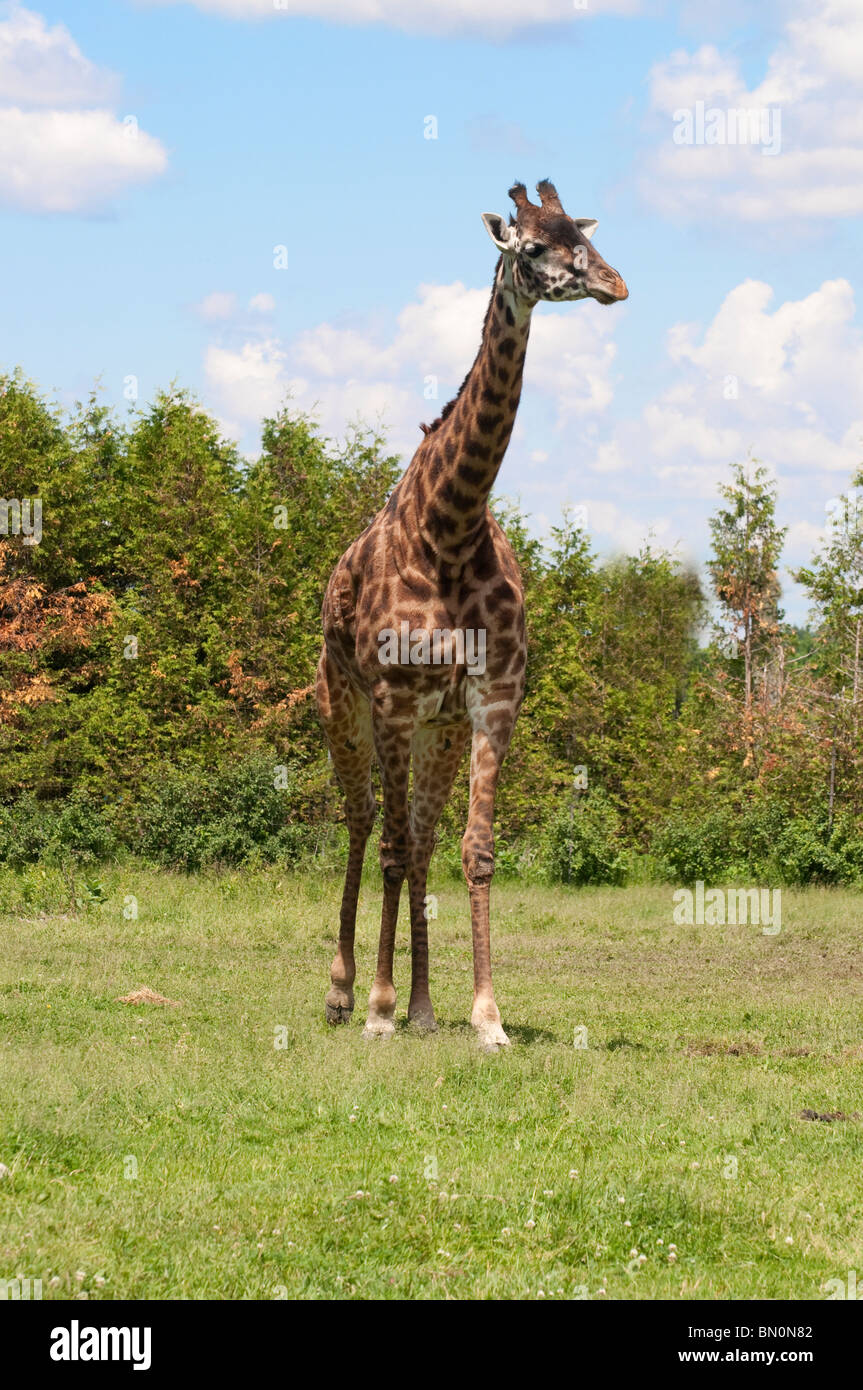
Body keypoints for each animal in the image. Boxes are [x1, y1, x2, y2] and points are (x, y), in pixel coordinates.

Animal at [316, 179, 627, 1050]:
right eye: (532, 246)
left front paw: (486, 1018)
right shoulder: (391, 697)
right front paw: (377, 1010)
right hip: (341, 700)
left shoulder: (491, 701)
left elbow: (474, 850)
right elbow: (388, 847)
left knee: (421, 839)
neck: (450, 526)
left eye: (584, 235)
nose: (615, 284)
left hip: (440, 728)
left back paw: (424, 1008)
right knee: (363, 824)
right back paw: (346, 994)